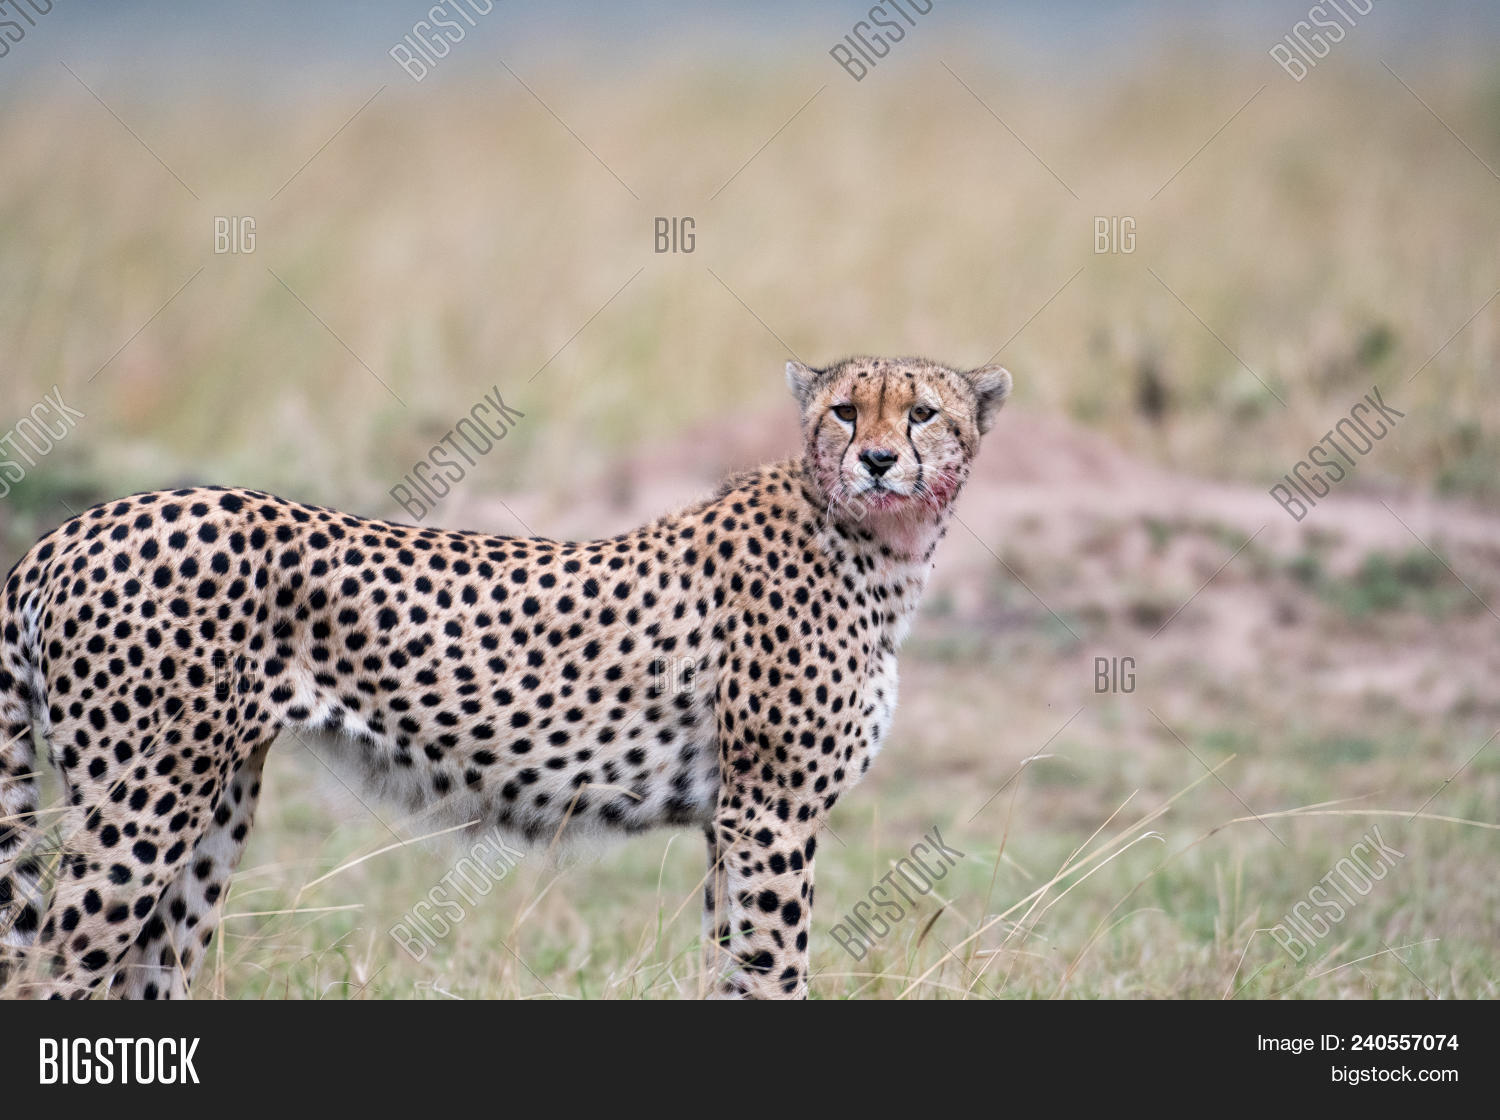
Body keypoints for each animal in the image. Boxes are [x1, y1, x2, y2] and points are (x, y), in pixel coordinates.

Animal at [0, 355, 1011, 999]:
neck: (881, 545)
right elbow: (775, 969)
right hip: (141, 807)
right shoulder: (772, 811)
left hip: (209, 812)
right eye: (845, 411)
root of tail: (78, 526)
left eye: (922, 412)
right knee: (45, 971)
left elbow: (731, 964)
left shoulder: (734, 820)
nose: (877, 459)